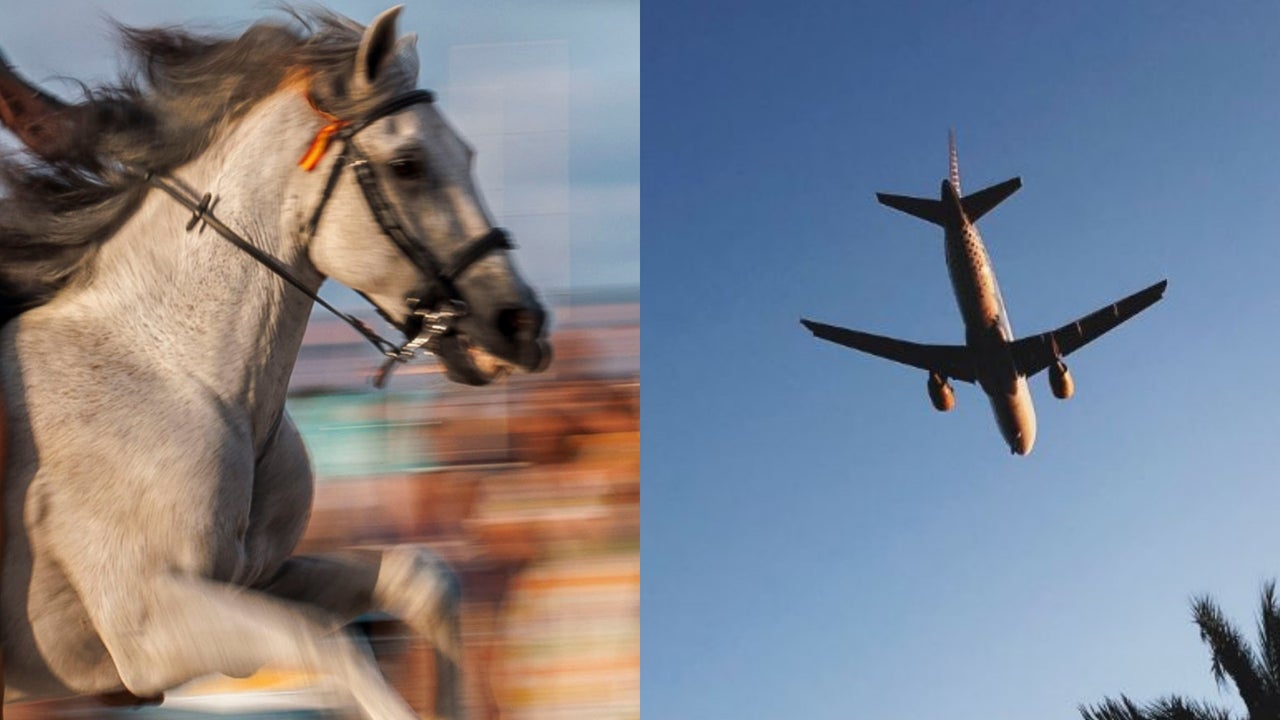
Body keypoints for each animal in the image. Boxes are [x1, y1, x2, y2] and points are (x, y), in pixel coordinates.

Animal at [0, 6, 549, 719]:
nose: (522, 325)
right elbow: (325, 643)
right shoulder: (144, 624)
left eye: (469, 155)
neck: (177, 368)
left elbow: (420, 580)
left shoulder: (260, 577)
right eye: (408, 164)